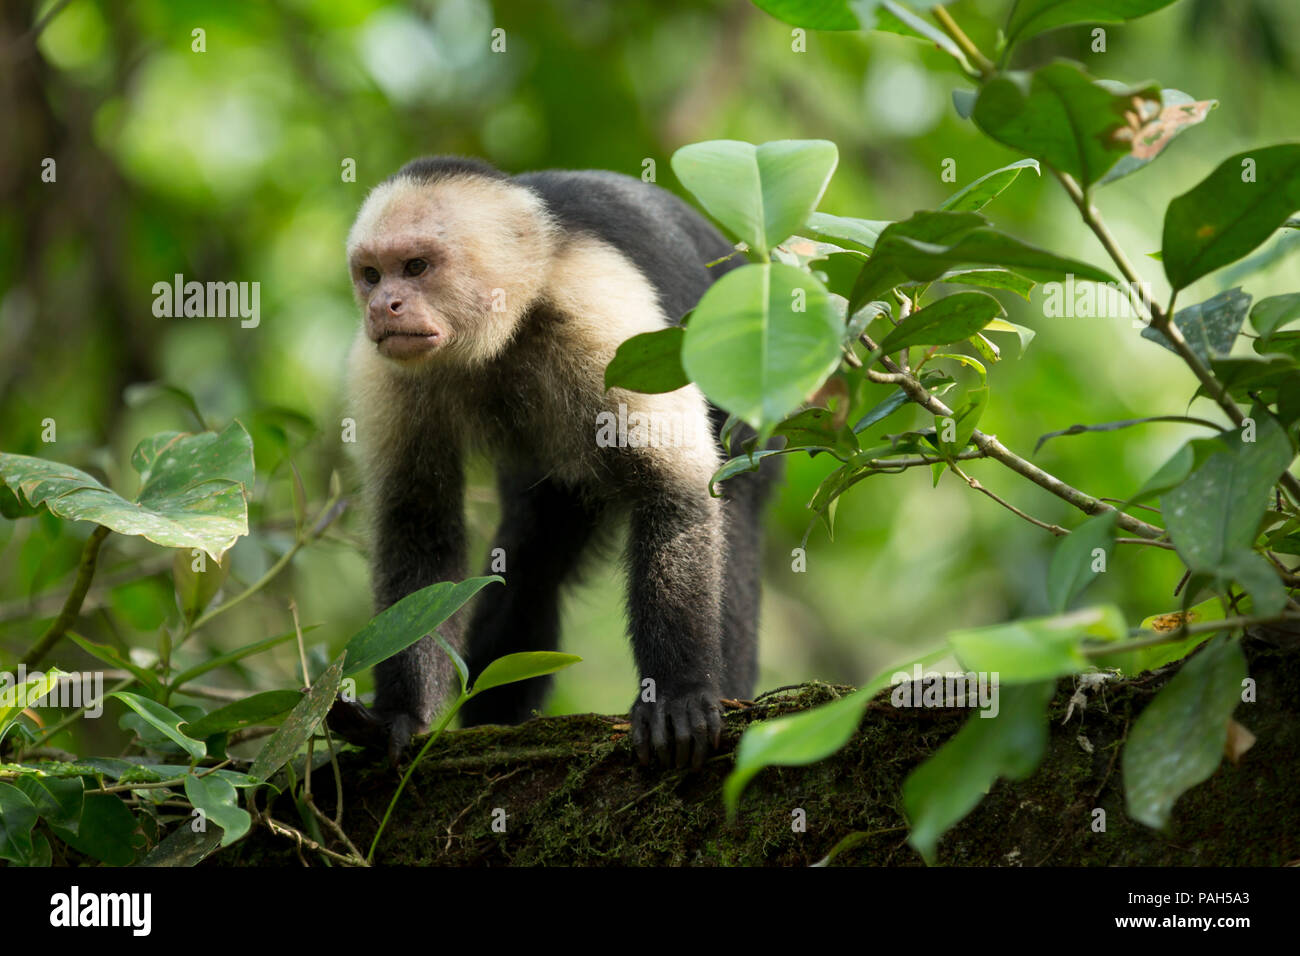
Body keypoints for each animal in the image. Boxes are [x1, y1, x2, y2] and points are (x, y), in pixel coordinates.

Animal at [331, 156, 778, 769]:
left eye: (416, 267)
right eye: (372, 275)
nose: (382, 306)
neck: (511, 321)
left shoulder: (596, 309)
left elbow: (675, 486)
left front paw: (678, 696)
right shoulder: (384, 369)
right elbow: (417, 523)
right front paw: (403, 715)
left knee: (727, 507)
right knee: (531, 554)